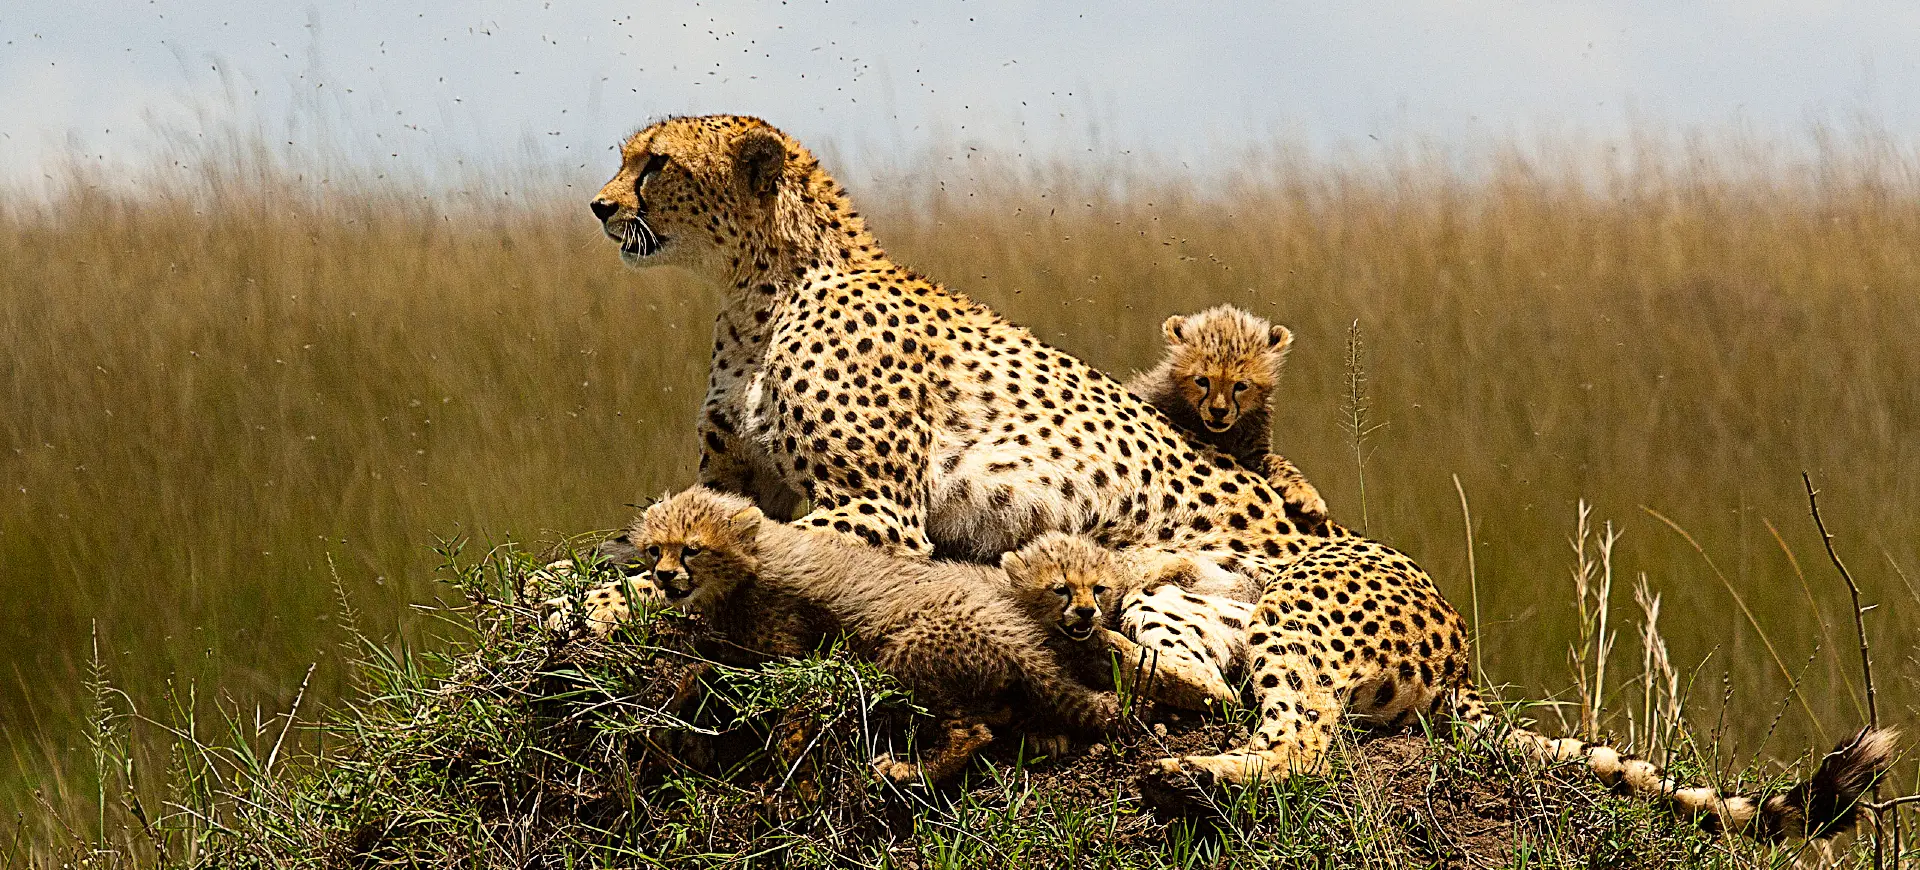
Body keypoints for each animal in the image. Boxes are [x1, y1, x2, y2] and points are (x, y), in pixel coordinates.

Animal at [635, 484, 1121, 783]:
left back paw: (911, 771)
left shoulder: (786, 653)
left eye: (692, 549)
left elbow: (717, 665)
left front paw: (686, 679)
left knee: (973, 732)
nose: (663, 576)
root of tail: (1016, 634)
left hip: (903, 659)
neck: (754, 562)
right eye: (655, 550)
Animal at [1125, 304, 1328, 530]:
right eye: (1202, 381)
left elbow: (1279, 461)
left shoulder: (1254, 453)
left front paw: (1306, 494)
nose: (1218, 411)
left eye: (1241, 385)